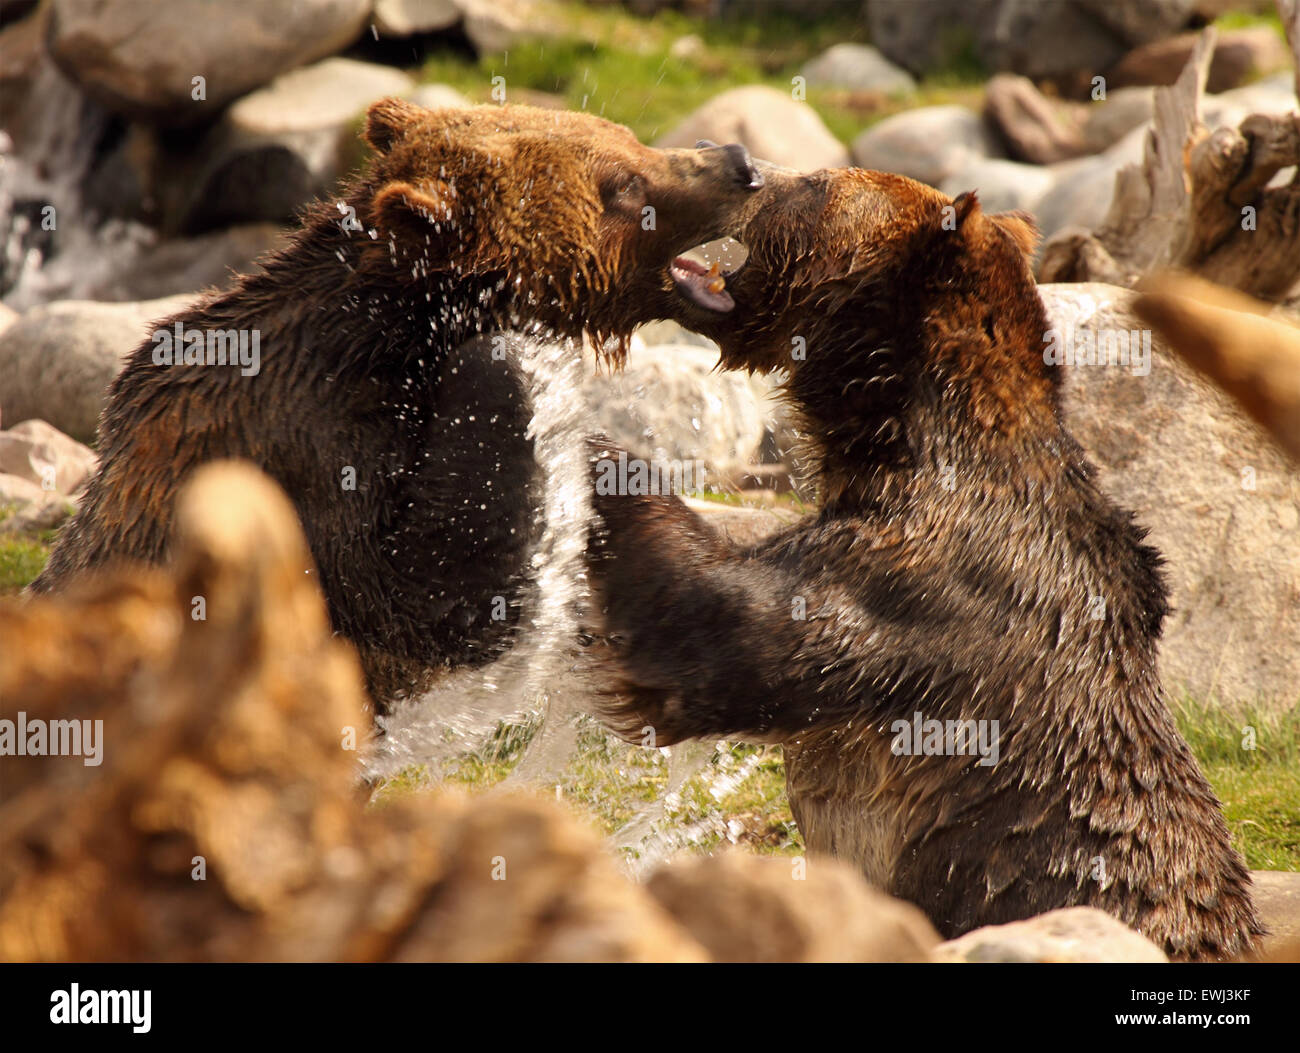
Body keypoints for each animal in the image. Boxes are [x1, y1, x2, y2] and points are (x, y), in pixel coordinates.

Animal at [30, 98, 768, 713]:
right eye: (622, 184)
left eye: (626, 137)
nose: (739, 163)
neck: (394, 342)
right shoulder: (305, 459)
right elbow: (432, 601)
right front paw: (507, 373)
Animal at [583, 165, 1263, 961]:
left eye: (814, 183)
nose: (749, 172)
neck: (905, 429)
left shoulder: (925, 582)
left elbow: (706, 632)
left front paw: (585, 446)